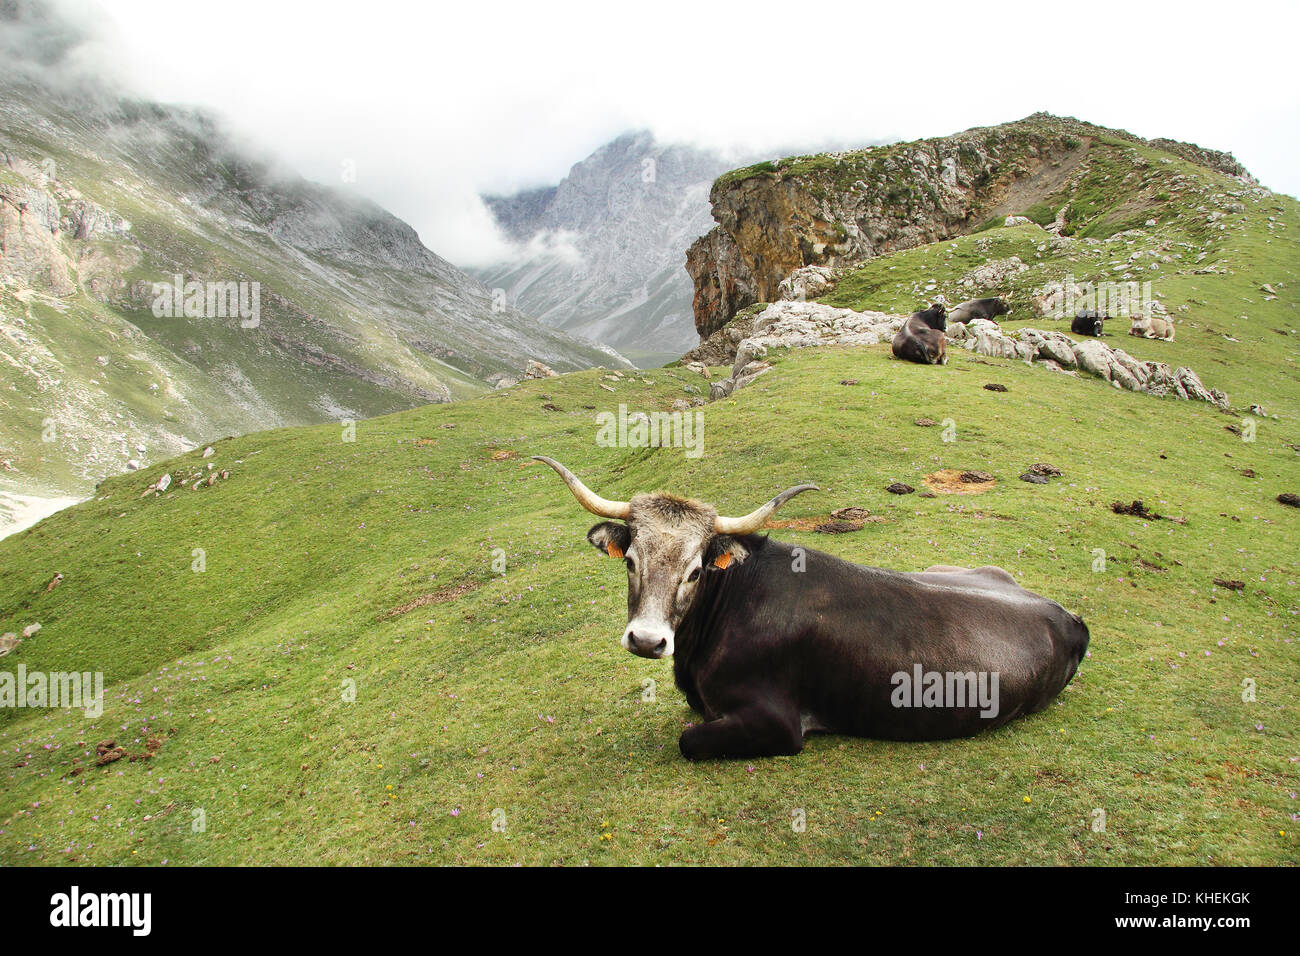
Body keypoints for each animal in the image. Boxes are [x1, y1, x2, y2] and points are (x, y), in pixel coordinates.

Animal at [533, 456, 1090, 760]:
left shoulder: (778, 722)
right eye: (630, 560)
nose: (647, 641)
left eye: (694, 571)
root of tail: (1067, 616)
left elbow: (688, 740)